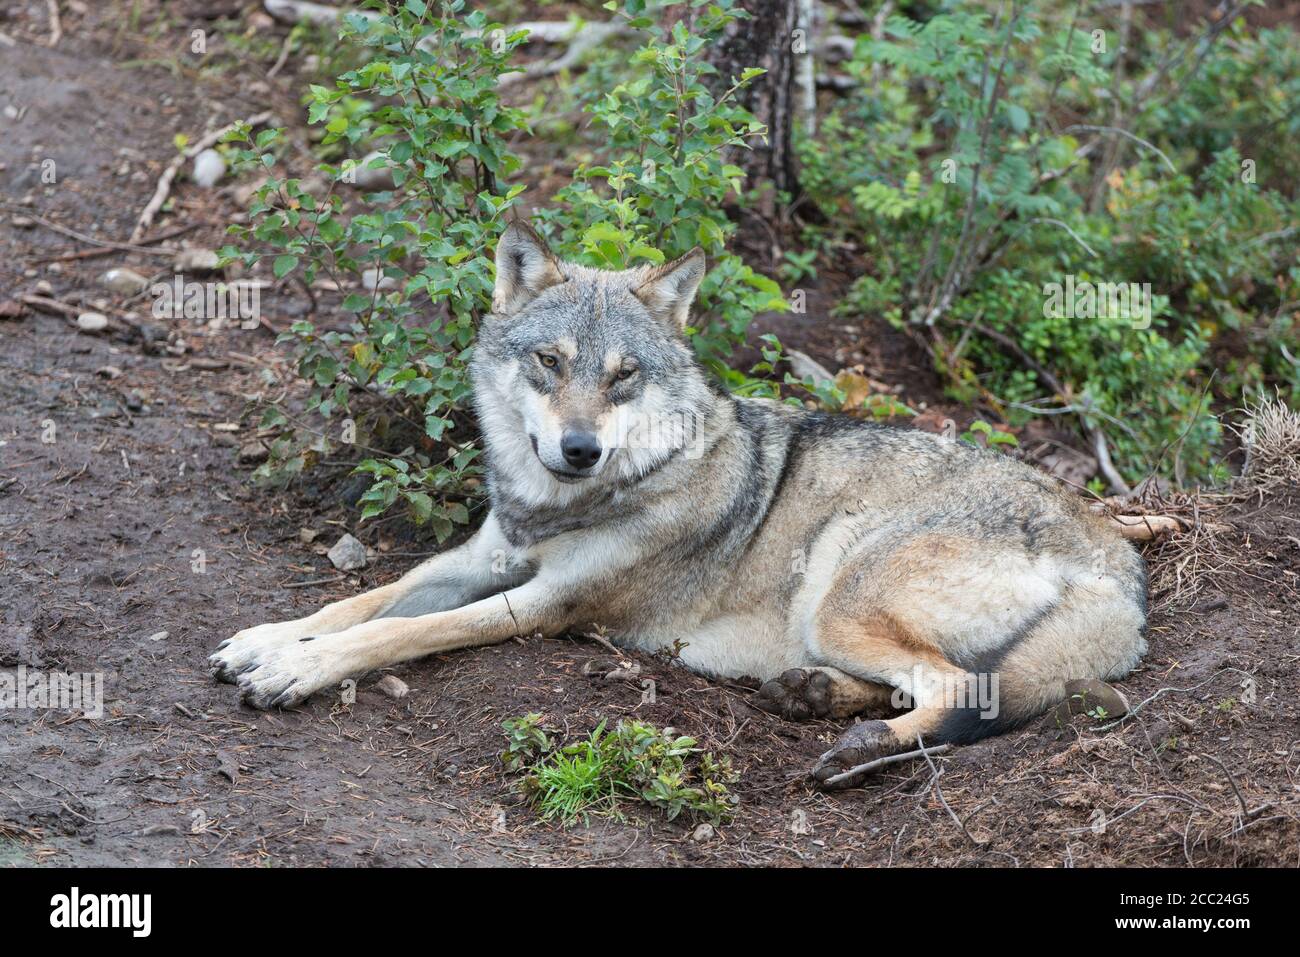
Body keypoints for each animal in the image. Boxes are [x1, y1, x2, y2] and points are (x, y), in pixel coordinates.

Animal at [210, 222, 1149, 787]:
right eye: (550, 362)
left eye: (623, 374)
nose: (579, 448)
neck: (568, 502)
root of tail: (1120, 562)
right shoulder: (484, 557)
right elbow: (361, 600)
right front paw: (265, 639)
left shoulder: (544, 605)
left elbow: (395, 633)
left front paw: (294, 670)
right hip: (834, 616)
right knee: (919, 686)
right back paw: (811, 697)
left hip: (840, 585)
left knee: (967, 695)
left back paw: (853, 752)